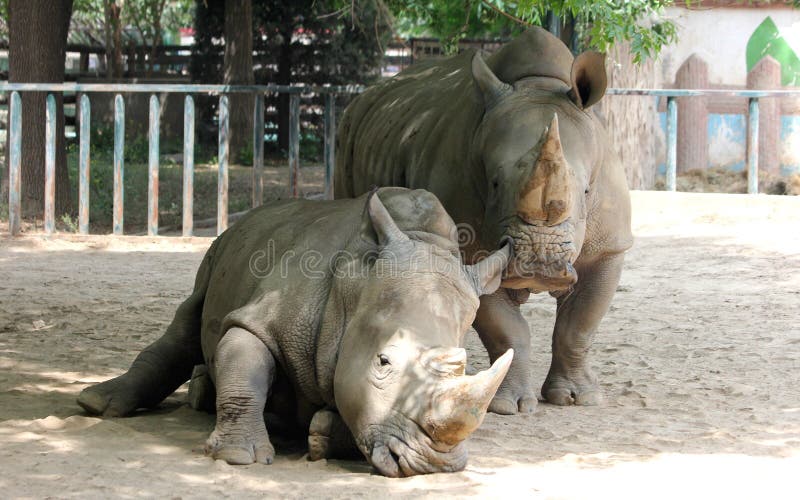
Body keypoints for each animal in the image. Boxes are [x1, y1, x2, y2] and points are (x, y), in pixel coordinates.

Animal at [77, 188, 514, 477]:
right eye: (383, 362)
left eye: (465, 367)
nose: (433, 463)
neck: (354, 292)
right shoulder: (260, 317)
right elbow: (244, 370)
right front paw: (239, 458)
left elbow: (351, 405)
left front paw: (320, 433)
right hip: (219, 249)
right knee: (187, 324)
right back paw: (97, 404)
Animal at [335, 28, 633, 414]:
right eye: (494, 184)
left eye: (585, 191)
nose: (540, 263)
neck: (537, 83)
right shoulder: (471, 248)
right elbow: (507, 330)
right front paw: (509, 407)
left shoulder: (608, 247)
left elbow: (579, 325)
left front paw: (577, 399)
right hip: (349, 129)